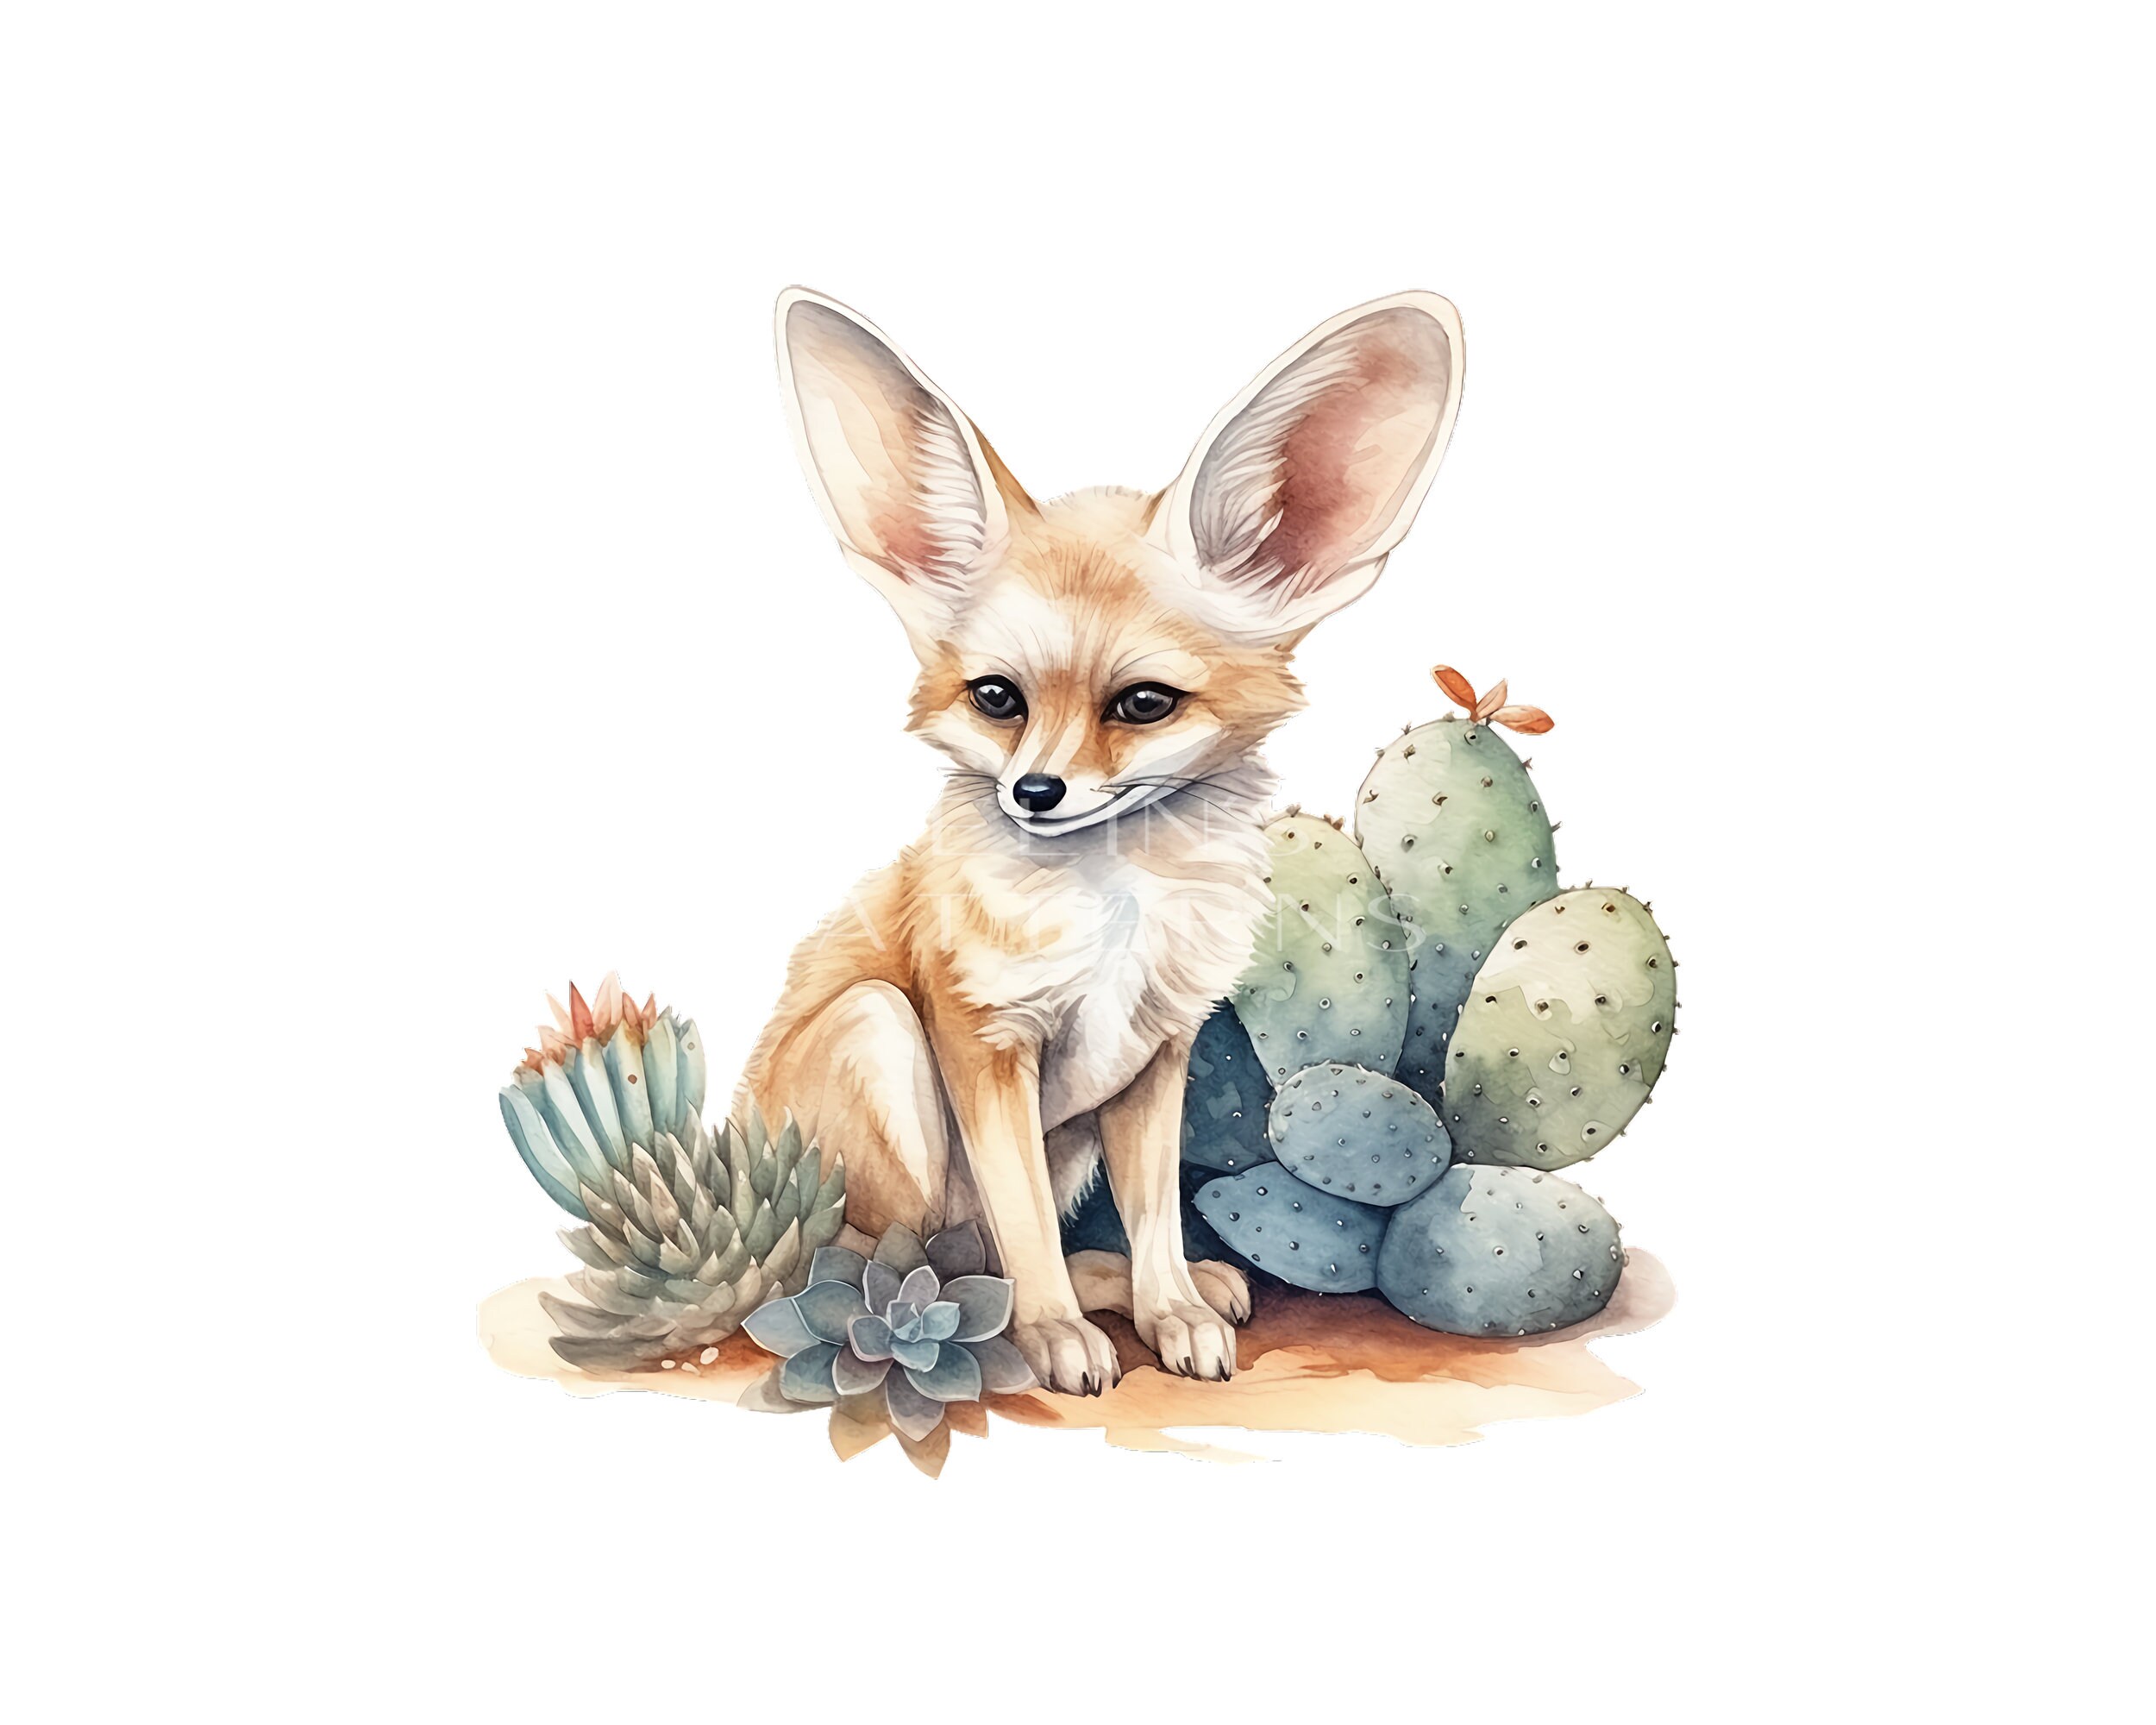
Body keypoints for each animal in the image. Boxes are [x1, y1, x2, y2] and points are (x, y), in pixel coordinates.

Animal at [738, 288, 1465, 1394]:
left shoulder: (1157, 1055)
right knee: (890, 1264)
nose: (1034, 792)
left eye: (1142, 702)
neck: (1115, 912)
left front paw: (1169, 1312)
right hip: (880, 1032)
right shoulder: (985, 1043)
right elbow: (1029, 1220)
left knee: (988, 1253)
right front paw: (1053, 1334)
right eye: (997, 697)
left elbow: (1154, 1218)